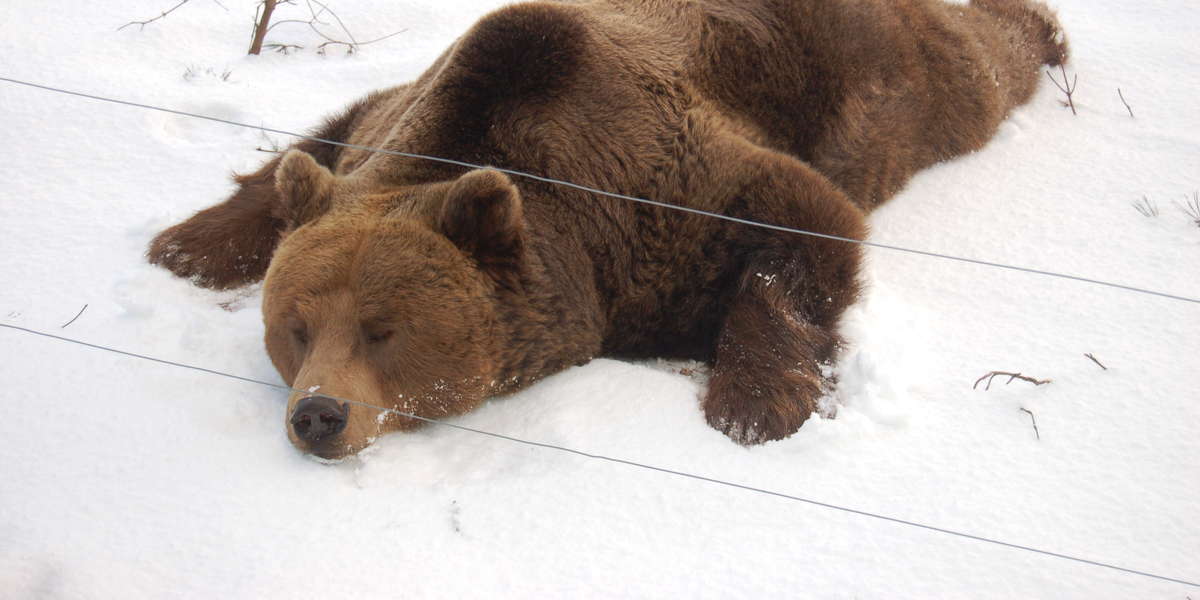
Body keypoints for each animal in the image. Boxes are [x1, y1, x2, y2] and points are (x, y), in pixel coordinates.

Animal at [148, 0, 1068, 459]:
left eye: (384, 329)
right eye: (294, 327)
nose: (318, 415)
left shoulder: (664, 187)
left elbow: (798, 226)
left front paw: (752, 404)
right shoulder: (391, 121)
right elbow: (314, 143)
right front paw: (187, 245)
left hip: (893, 74)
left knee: (983, 65)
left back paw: (1048, 30)